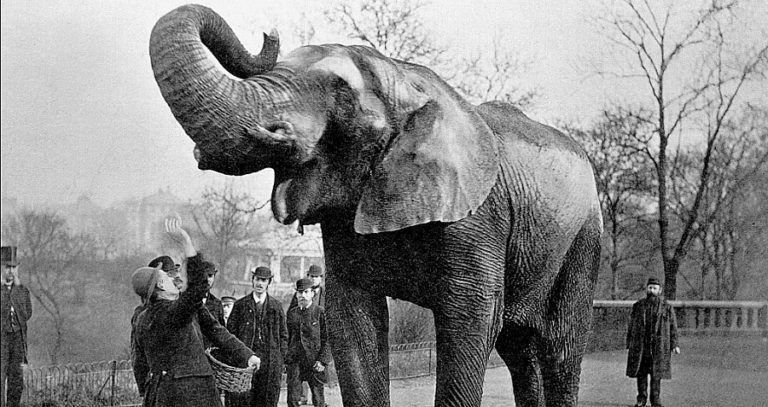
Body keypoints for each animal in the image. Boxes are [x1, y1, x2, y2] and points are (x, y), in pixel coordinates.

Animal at [149, 5, 603, 406]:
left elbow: (472, 320)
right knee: (519, 350)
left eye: (342, 94)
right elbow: (352, 321)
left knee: (560, 347)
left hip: (583, 241)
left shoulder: (477, 220)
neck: (408, 79)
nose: (268, 32)